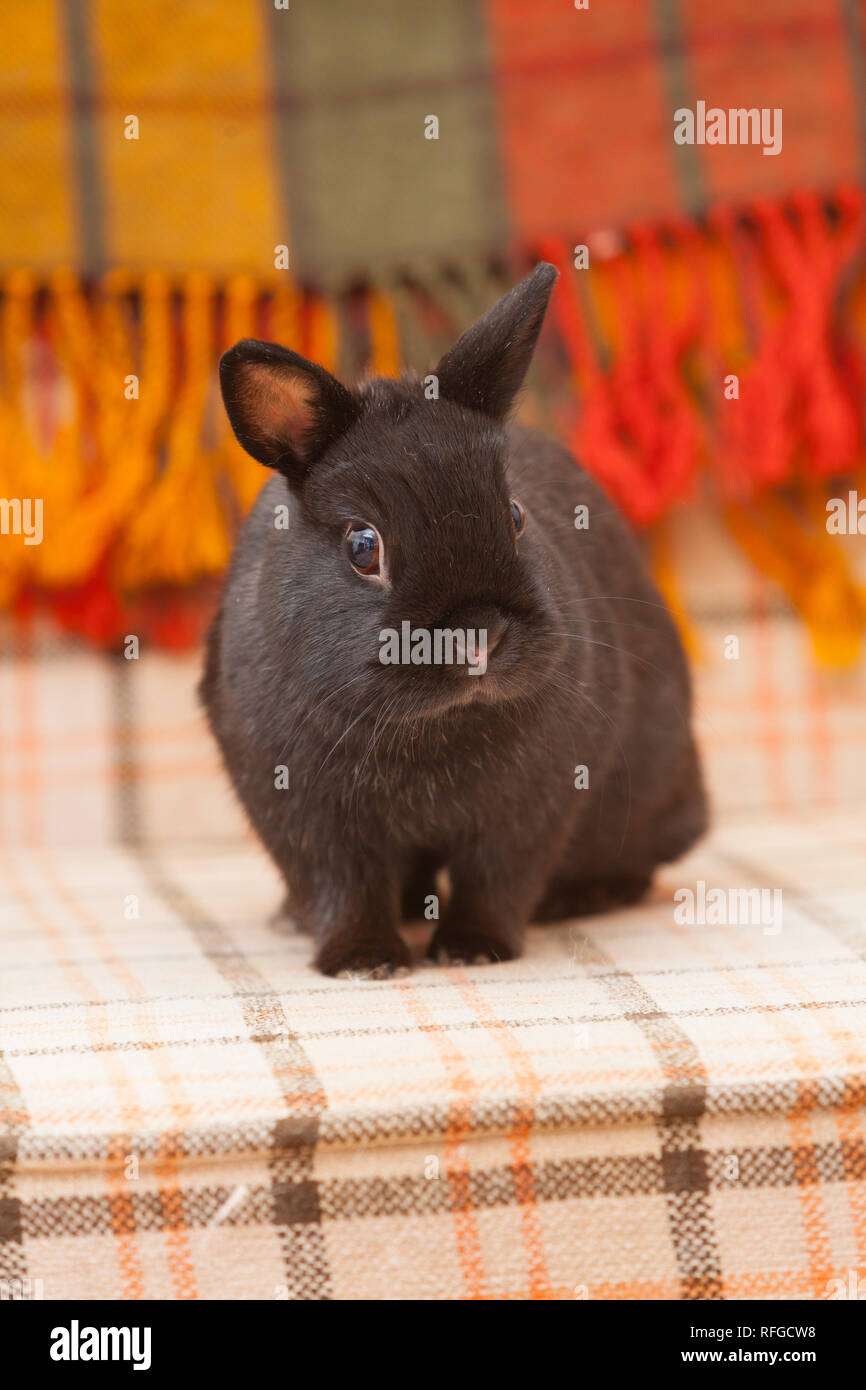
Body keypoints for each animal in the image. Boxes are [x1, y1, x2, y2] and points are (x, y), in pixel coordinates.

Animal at [200, 263, 707, 977]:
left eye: (515, 515)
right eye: (364, 546)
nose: (480, 634)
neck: (429, 730)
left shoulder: (528, 811)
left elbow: (495, 881)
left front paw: (472, 951)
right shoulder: (304, 816)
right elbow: (341, 888)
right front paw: (363, 961)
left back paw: (577, 898)